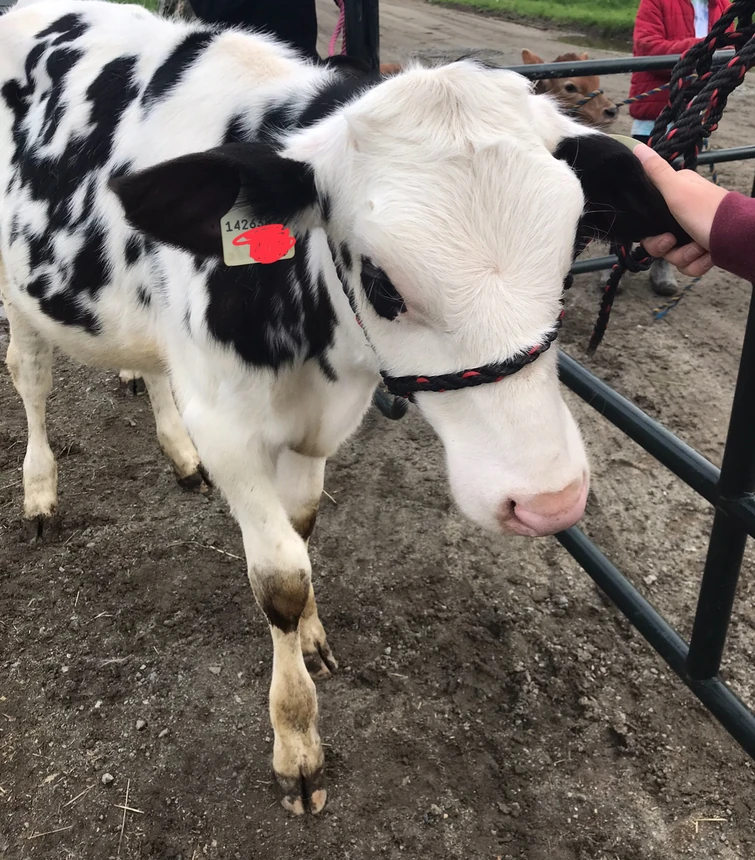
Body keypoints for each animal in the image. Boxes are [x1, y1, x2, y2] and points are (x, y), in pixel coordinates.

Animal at [0, 0, 684, 814]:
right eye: (383, 283)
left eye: (571, 250)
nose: (549, 500)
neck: (305, 344)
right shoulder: (230, 430)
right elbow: (280, 581)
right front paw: (296, 743)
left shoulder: (321, 424)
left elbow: (304, 532)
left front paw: (314, 638)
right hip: (16, 289)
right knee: (31, 377)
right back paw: (40, 492)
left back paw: (174, 450)